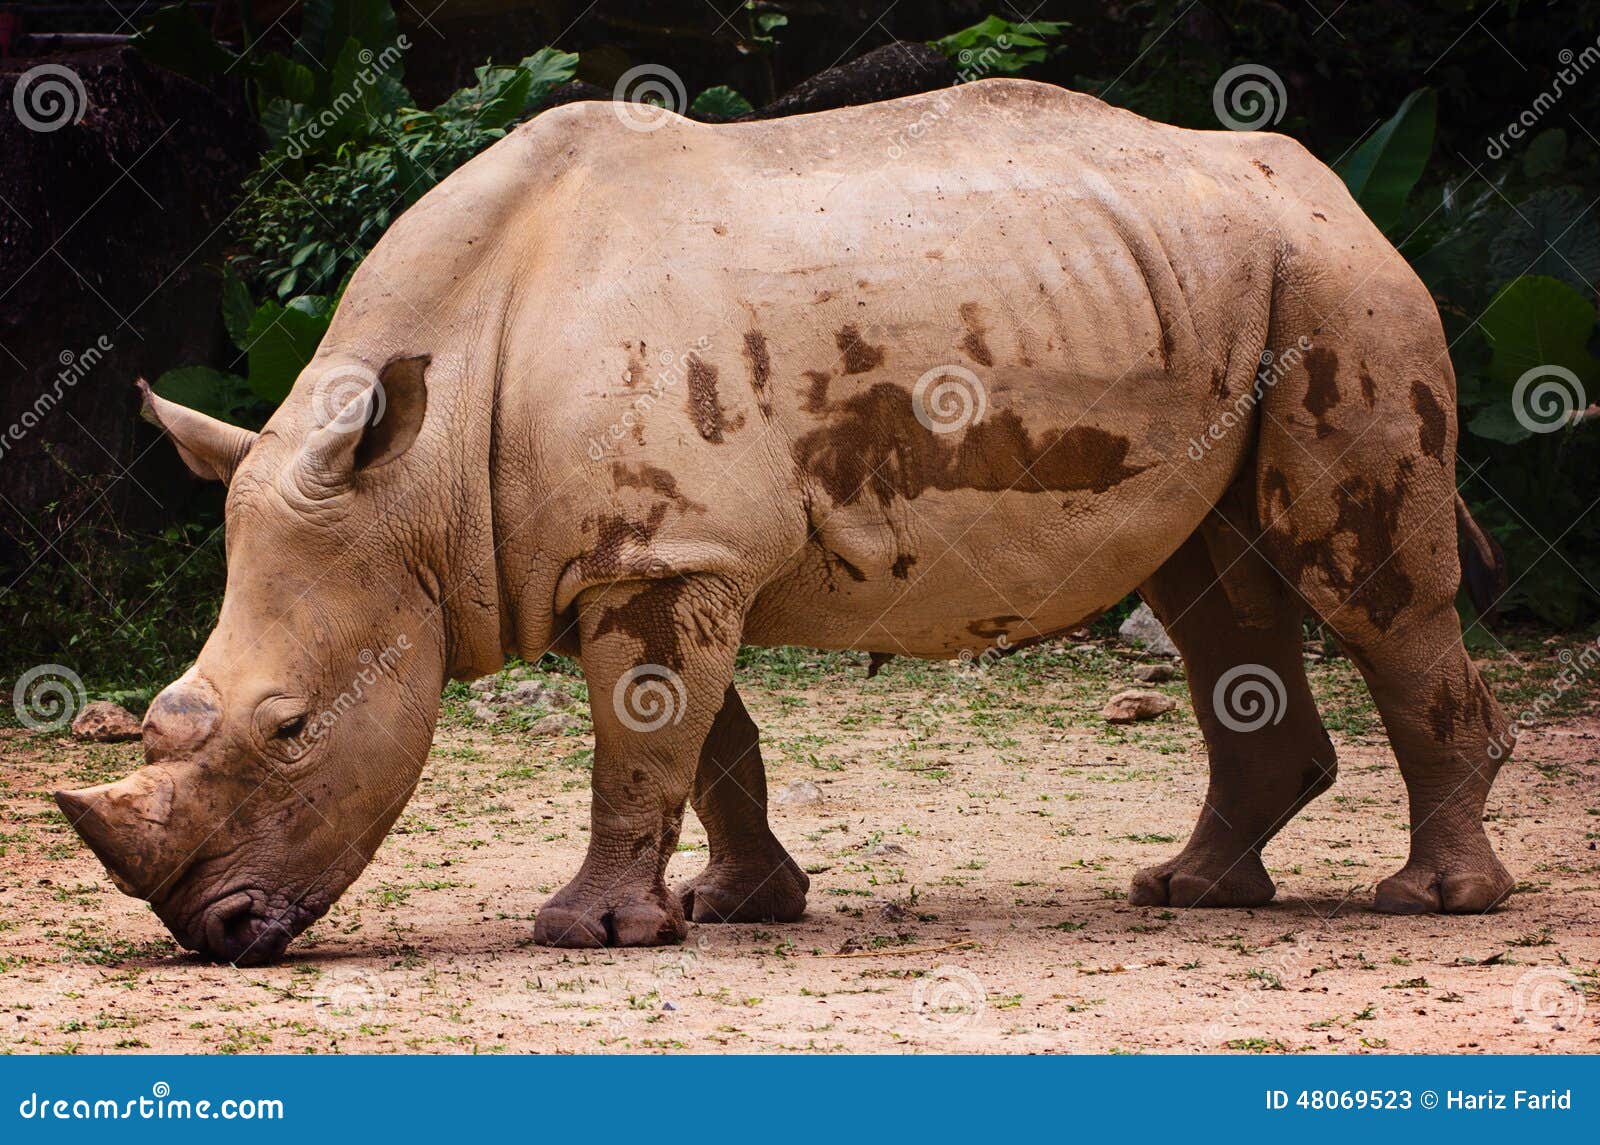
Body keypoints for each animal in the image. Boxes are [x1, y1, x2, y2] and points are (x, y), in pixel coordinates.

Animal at [55, 79, 1514, 963]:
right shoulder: (648, 554)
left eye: (291, 730)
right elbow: (703, 745)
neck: (413, 485)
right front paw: (734, 907)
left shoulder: (662, 560)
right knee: (1210, 586)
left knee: (1362, 583)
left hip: (1333, 281)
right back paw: (1188, 891)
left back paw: (1432, 903)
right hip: (1224, 284)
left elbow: (641, 744)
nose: (211, 930)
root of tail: (1328, 180)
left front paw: (585, 933)